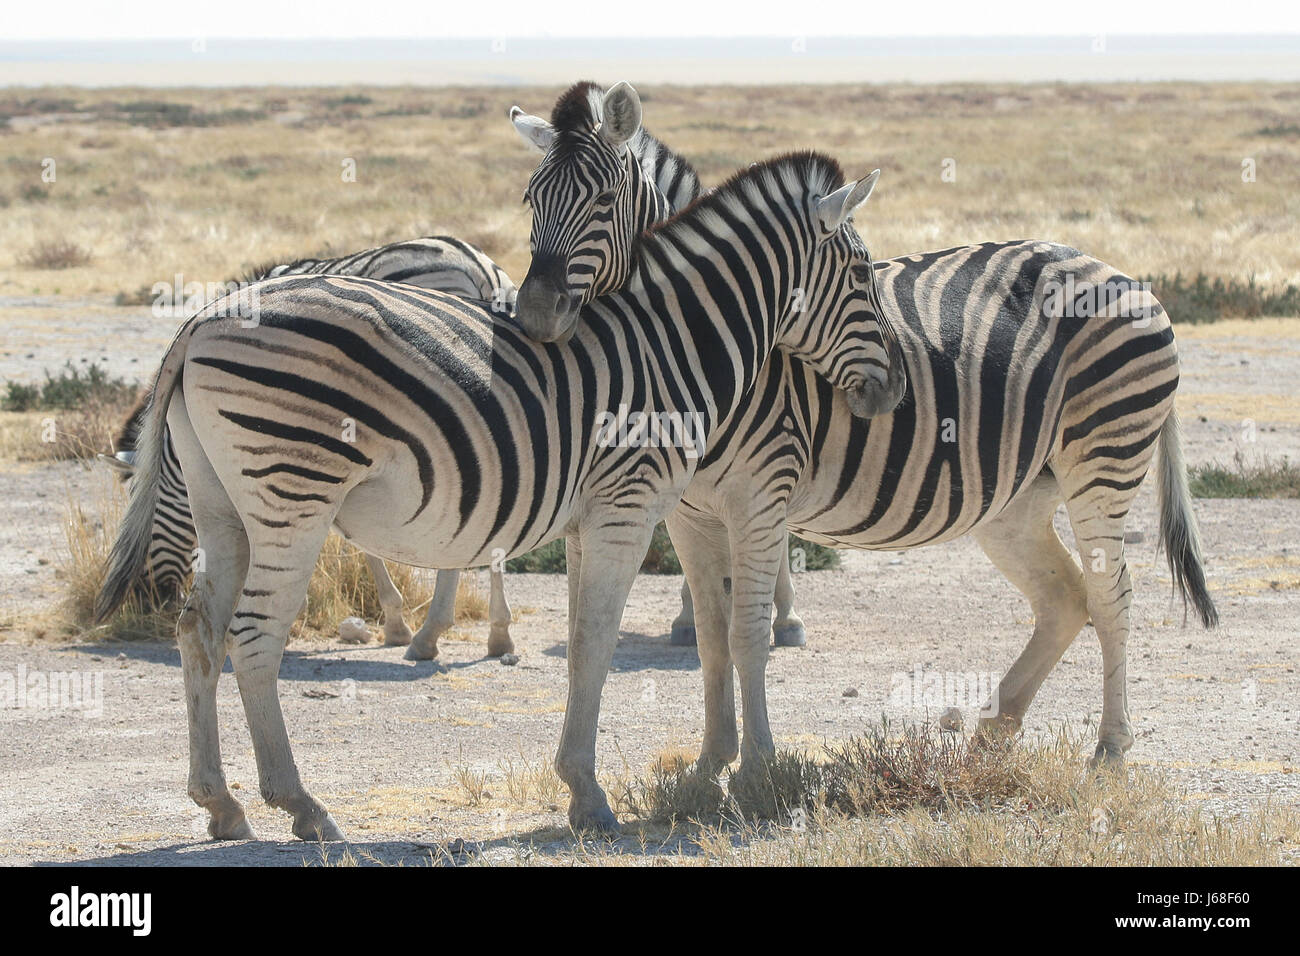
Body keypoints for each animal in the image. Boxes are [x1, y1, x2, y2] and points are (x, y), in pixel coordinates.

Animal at [99, 236, 517, 656]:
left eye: (144, 509)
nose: (147, 600)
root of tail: (478, 267)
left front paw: (394, 623)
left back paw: (431, 634)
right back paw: (497, 634)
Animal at [509, 80, 1218, 778]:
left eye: (602, 200)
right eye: (529, 199)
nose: (535, 315)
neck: (699, 336)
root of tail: (1122, 274)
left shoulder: (761, 492)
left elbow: (745, 633)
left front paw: (754, 772)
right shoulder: (689, 513)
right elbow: (711, 636)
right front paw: (710, 765)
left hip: (1104, 460)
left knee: (1111, 596)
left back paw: (1110, 749)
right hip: (1016, 499)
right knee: (1065, 597)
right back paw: (994, 731)